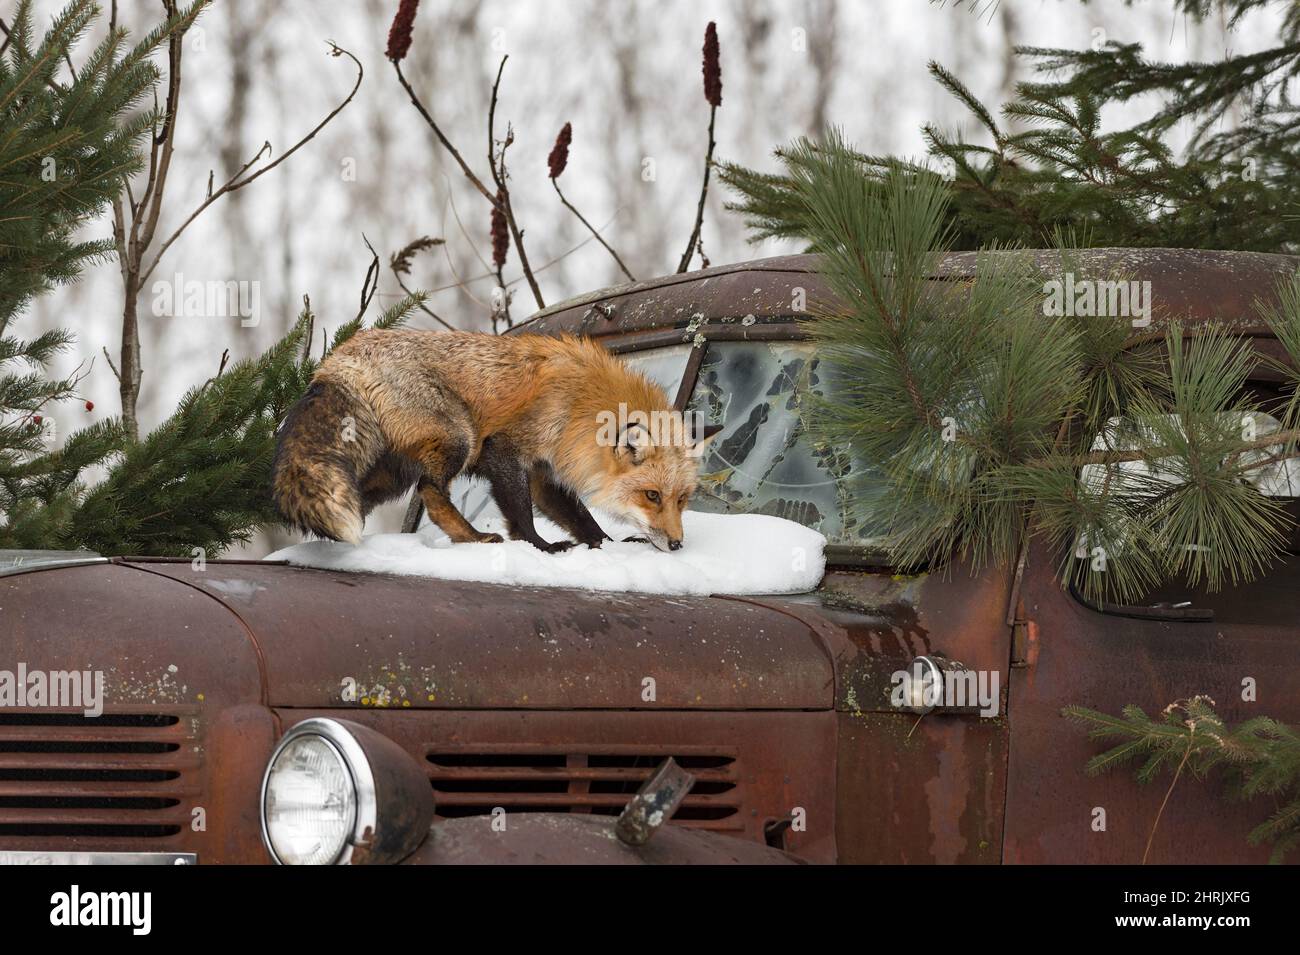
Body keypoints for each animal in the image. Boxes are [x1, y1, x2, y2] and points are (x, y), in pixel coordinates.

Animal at [272, 329, 722, 553]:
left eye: (682, 499)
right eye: (652, 496)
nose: (677, 545)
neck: (579, 404)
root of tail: (337, 358)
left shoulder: (544, 471)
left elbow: (581, 519)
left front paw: (606, 546)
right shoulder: (505, 449)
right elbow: (521, 514)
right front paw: (541, 547)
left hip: (390, 474)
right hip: (460, 438)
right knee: (432, 494)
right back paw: (472, 538)